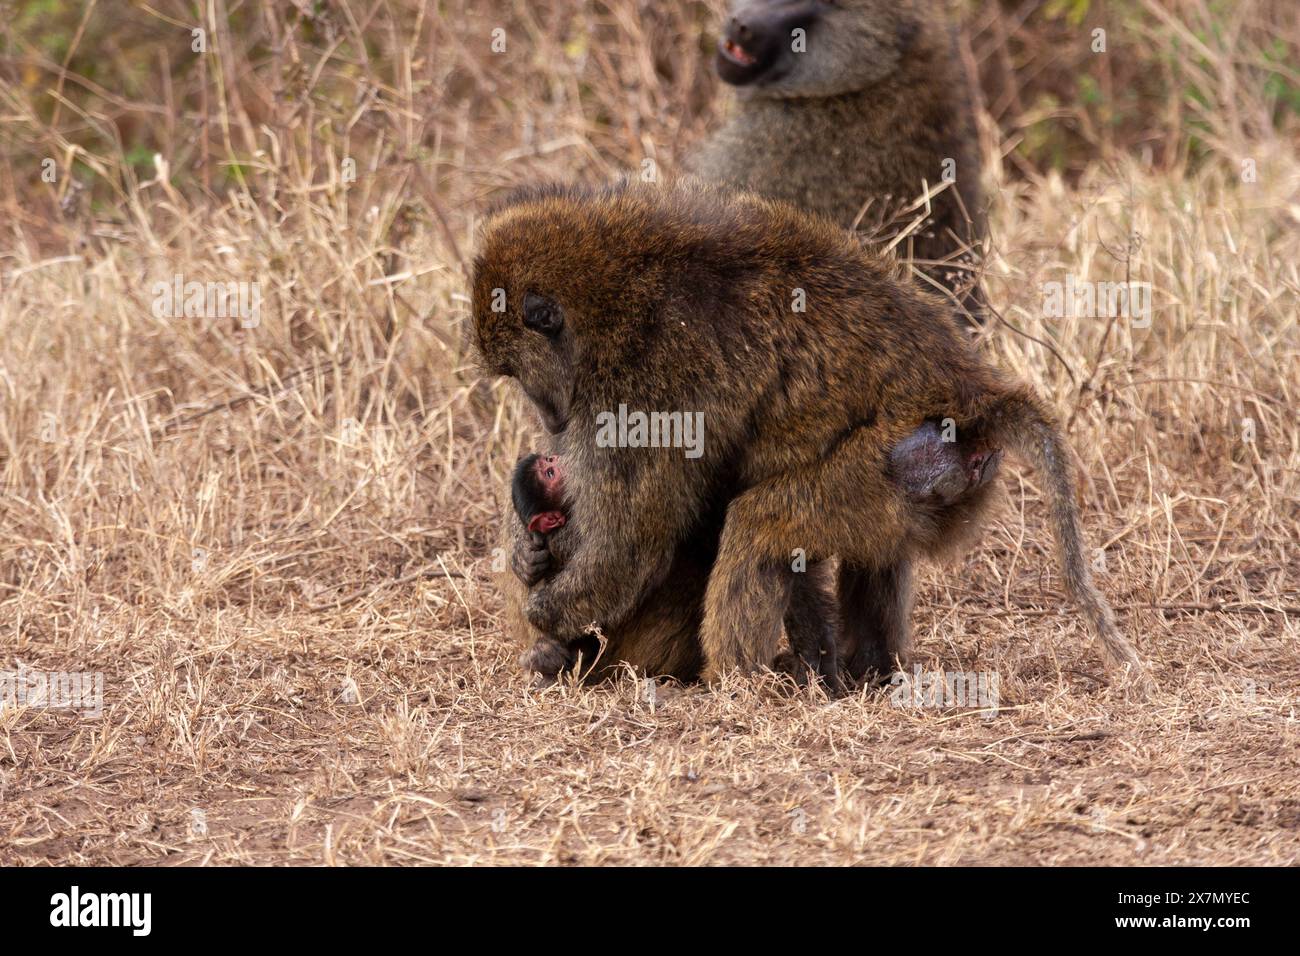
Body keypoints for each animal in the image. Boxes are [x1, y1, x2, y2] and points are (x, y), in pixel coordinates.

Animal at [472, 179, 1143, 687]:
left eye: (518, 375)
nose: (551, 422)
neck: (612, 300)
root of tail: (970, 386)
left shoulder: (643, 395)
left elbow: (627, 548)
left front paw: (544, 607)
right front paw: (529, 561)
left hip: (897, 457)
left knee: (755, 525)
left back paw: (735, 685)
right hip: (919, 478)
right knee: (843, 546)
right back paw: (857, 669)